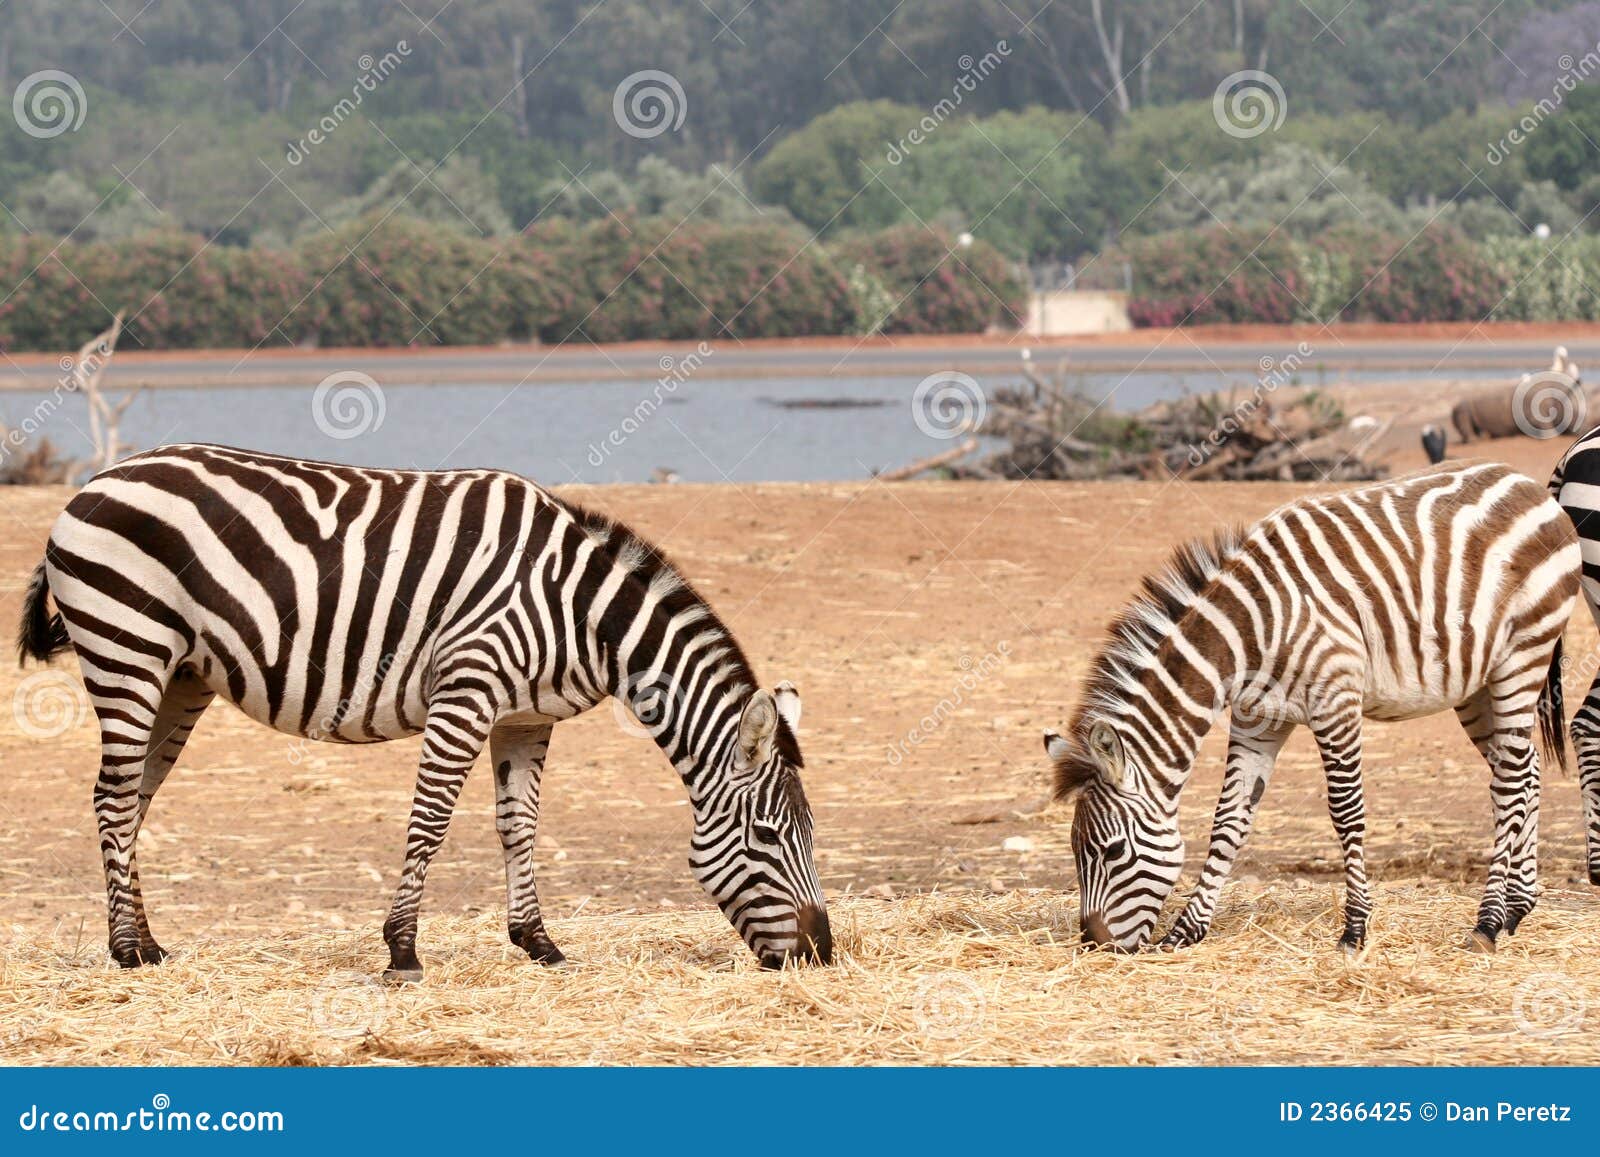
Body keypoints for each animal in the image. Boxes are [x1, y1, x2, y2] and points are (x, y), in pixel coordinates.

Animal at [17, 443, 831, 980]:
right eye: (766, 835)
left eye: (811, 833)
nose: (822, 953)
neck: (583, 612)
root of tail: (95, 481)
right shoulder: (467, 687)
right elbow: (432, 820)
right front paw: (403, 949)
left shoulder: (525, 718)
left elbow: (518, 825)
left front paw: (537, 941)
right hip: (127, 647)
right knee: (114, 795)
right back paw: (126, 951)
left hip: (181, 674)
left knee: (132, 799)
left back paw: (147, 943)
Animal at [1044, 459, 1580, 954]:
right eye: (1076, 852)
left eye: (1112, 851)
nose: (1093, 945)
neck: (1248, 633)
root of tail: (1524, 480)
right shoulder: (1257, 720)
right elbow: (1228, 821)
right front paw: (1186, 931)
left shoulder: (1335, 702)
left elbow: (1346, 812)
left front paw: (1355, 930)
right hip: (1476, 684)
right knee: (1525, 770)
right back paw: (1516, 909)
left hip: (1522, 656)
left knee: (1510, 784)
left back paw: (1487, 923)